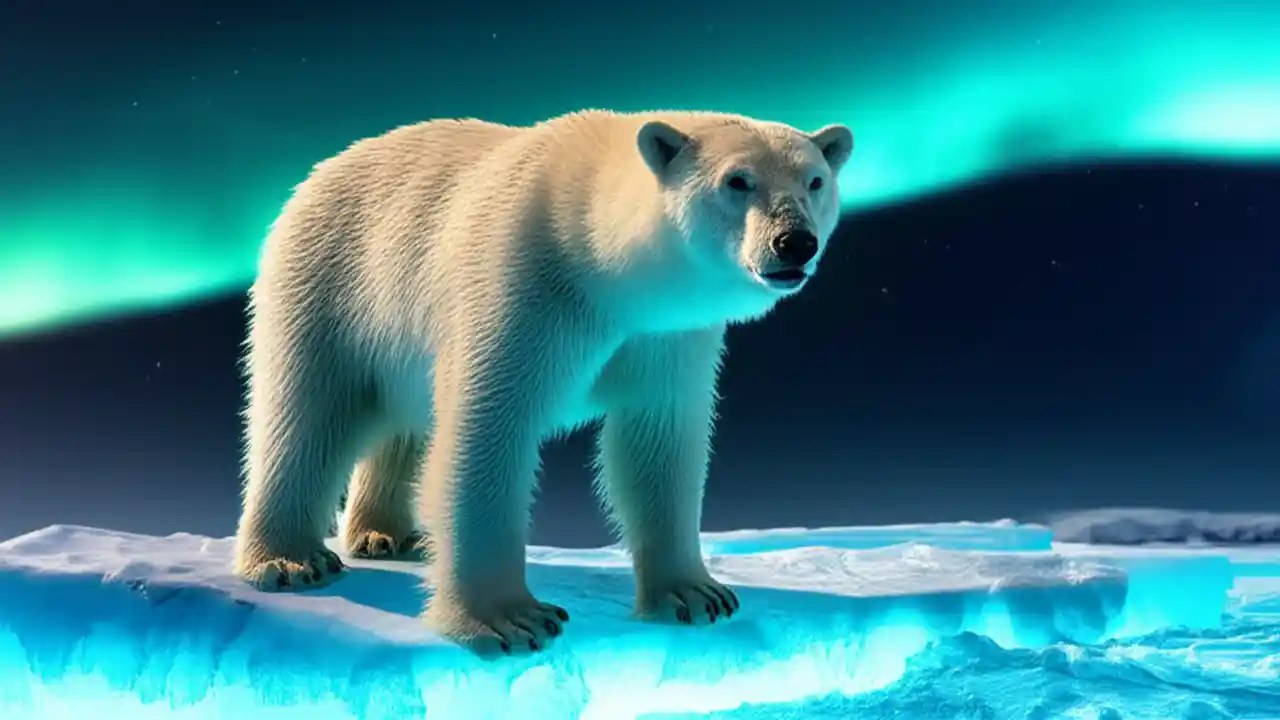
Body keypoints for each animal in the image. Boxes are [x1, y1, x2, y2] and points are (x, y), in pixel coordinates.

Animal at [233, 109, 853, 655]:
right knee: (306, 412)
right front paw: (508, 621)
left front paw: (696, 594)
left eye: (815, 180)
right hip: (333, 280)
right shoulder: (523, 286)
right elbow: (486, 432)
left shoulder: (664, 333)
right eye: (737, 181)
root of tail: (325, 168)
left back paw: (387, 536)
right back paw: (290, 561)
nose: (795, 242)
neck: (592, 252)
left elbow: (659, 444)